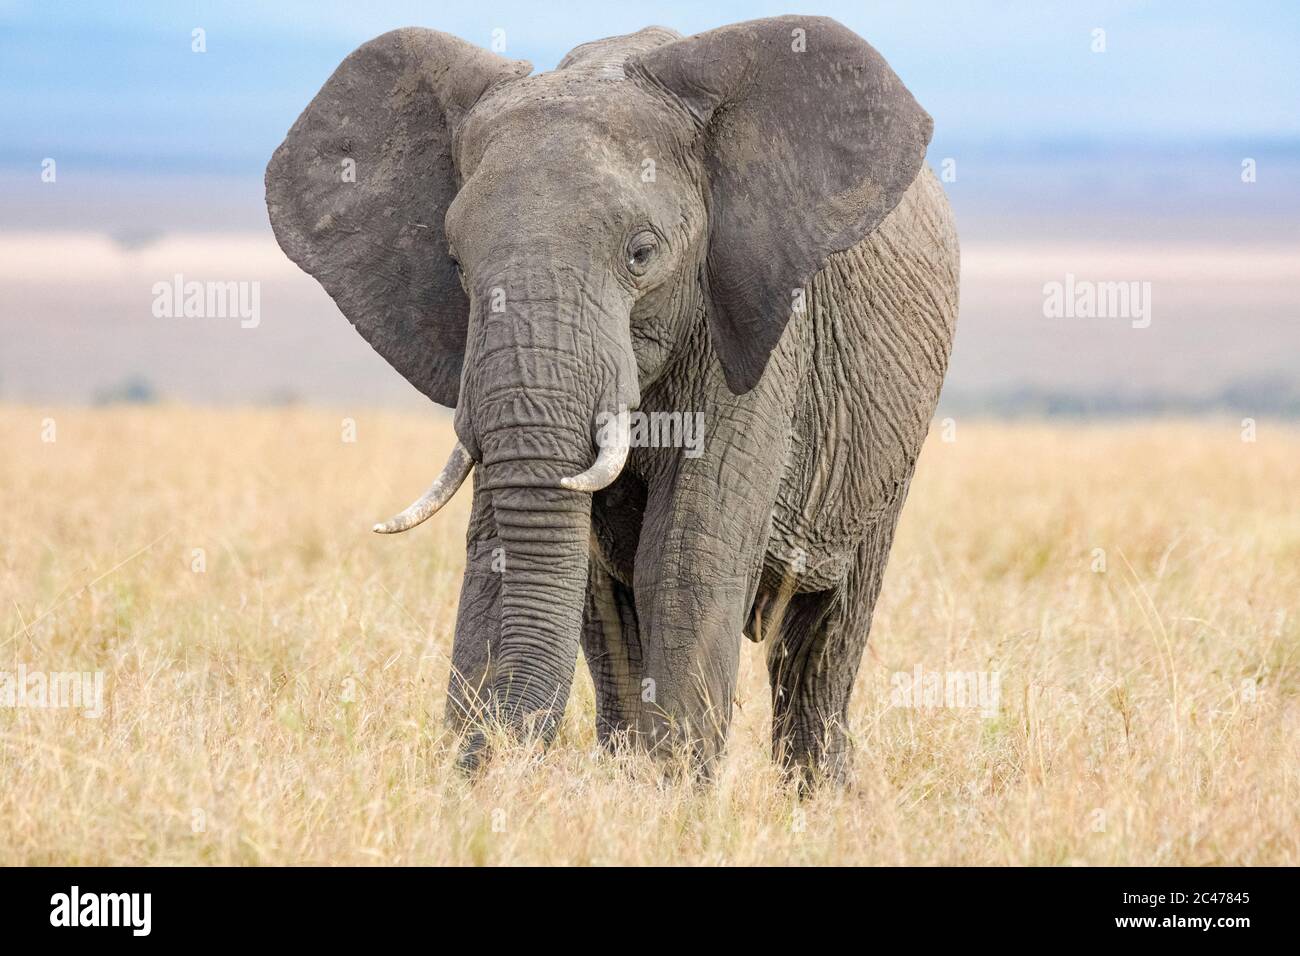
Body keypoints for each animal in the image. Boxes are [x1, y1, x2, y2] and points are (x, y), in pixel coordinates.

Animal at [266, 15, 959, 783]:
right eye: (455, 264)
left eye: (641, 253)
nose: (493, 758)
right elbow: (511, 549)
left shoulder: (757, 329)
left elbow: (686, 553)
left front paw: (672, 797)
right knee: (609, 610)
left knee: (824, 635)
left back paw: (817, 797)